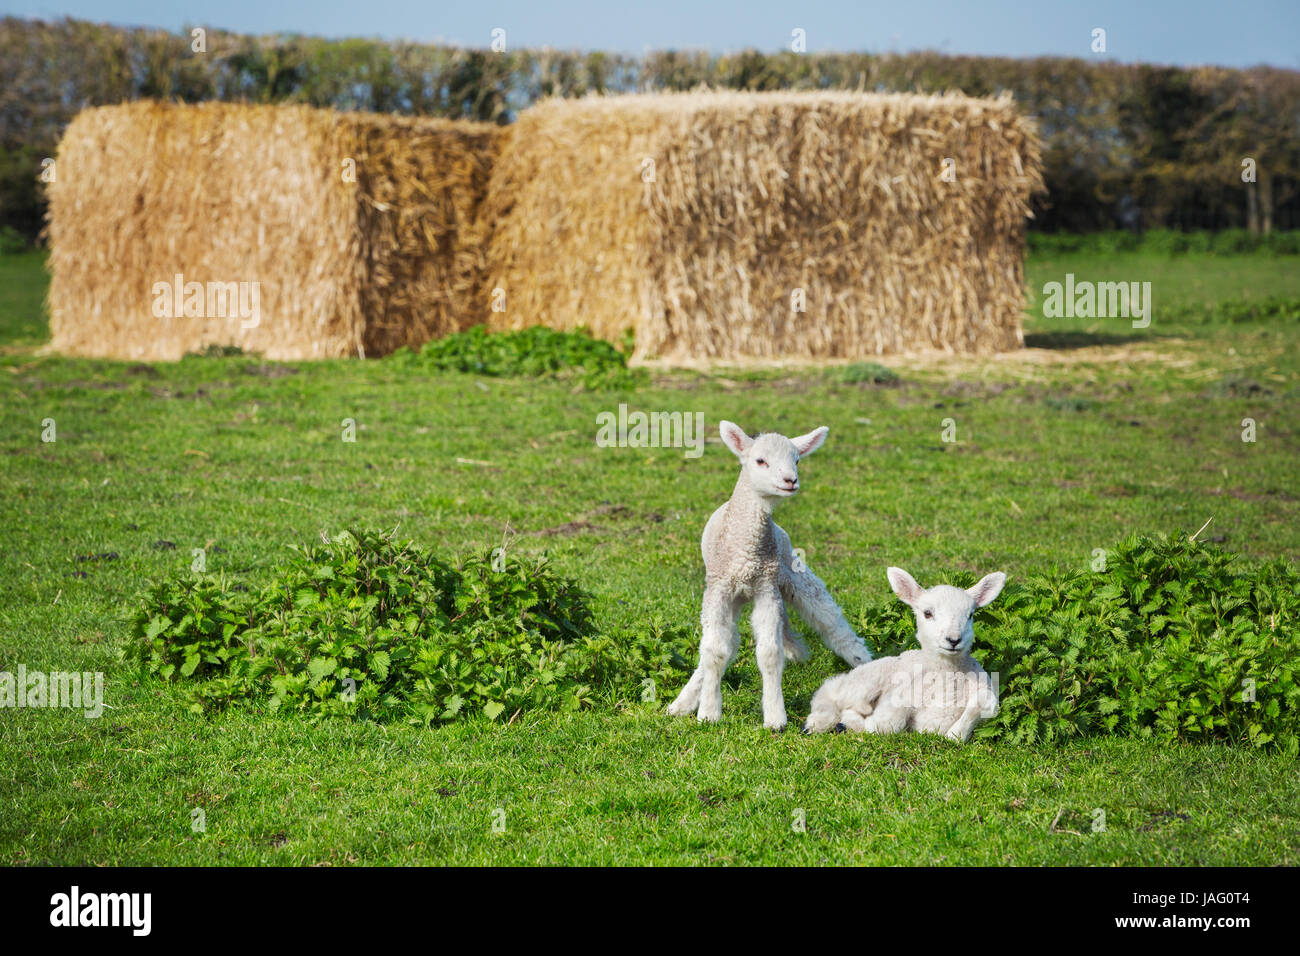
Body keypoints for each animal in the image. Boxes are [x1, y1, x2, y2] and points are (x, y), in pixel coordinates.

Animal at [666, 421, 873, 731]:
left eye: (797, 460)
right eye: (760, 461)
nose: (790, 480)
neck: (747, 552)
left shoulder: (766, 588)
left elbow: (770, 653)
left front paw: (775, 717)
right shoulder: (718, 588)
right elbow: (714, 652)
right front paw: (709, 713)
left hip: (791, 568)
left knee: (830, 620)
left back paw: (866, 665)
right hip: (735, 595)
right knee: (726, 642)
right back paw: (682, 703)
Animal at [803, 567, 1005, 742]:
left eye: (970, 615)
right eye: (927, 613)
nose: (954, 639)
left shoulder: (987, 693)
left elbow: (977, 711)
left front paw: (956, 733)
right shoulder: (902, 694)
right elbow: (889, 721)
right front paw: (862, 722)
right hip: (867, 679)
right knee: (830, 691)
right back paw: (818, 722)